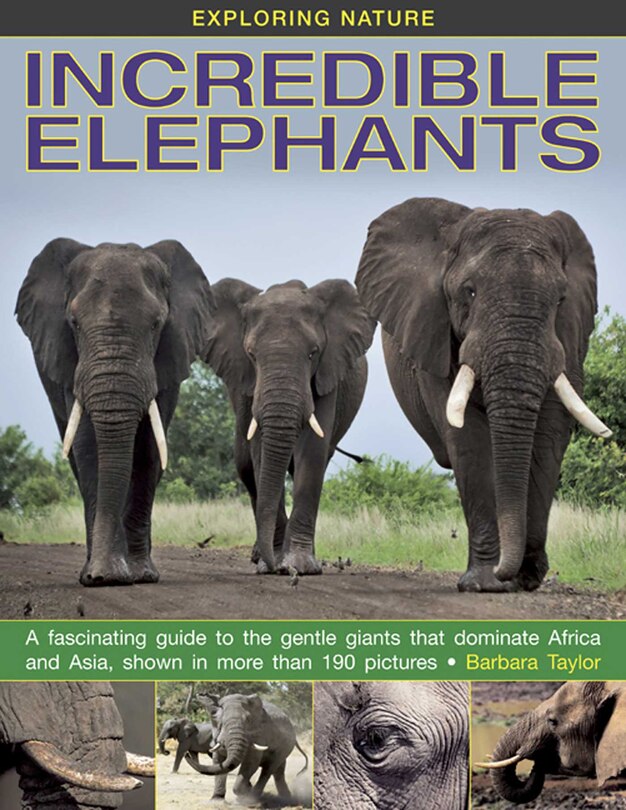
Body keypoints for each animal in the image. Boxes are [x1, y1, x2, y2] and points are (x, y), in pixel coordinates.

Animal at [16, 238, 213, 586]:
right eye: (73, 323)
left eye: (156, 324)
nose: (101, 576)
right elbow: (88, 446)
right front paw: (102, 576)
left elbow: (148, 449)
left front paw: (140, 575)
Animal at [203, 278, 376, 575]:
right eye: (251, 354)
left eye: (313, 353)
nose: (276, 568)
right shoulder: (247, 382)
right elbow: (260, 453)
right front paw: (270, 563)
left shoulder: (327, 373)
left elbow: (313, 453)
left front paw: (299, 566)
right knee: (245, 466)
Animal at [356, 197, 612, 593]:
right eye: (470, 292)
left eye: (560, 300)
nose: (510, 572)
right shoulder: (435, 333)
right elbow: (469, 439)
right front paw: (485, 583)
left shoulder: (570, 341)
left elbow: (550, 432)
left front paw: (526, 578)